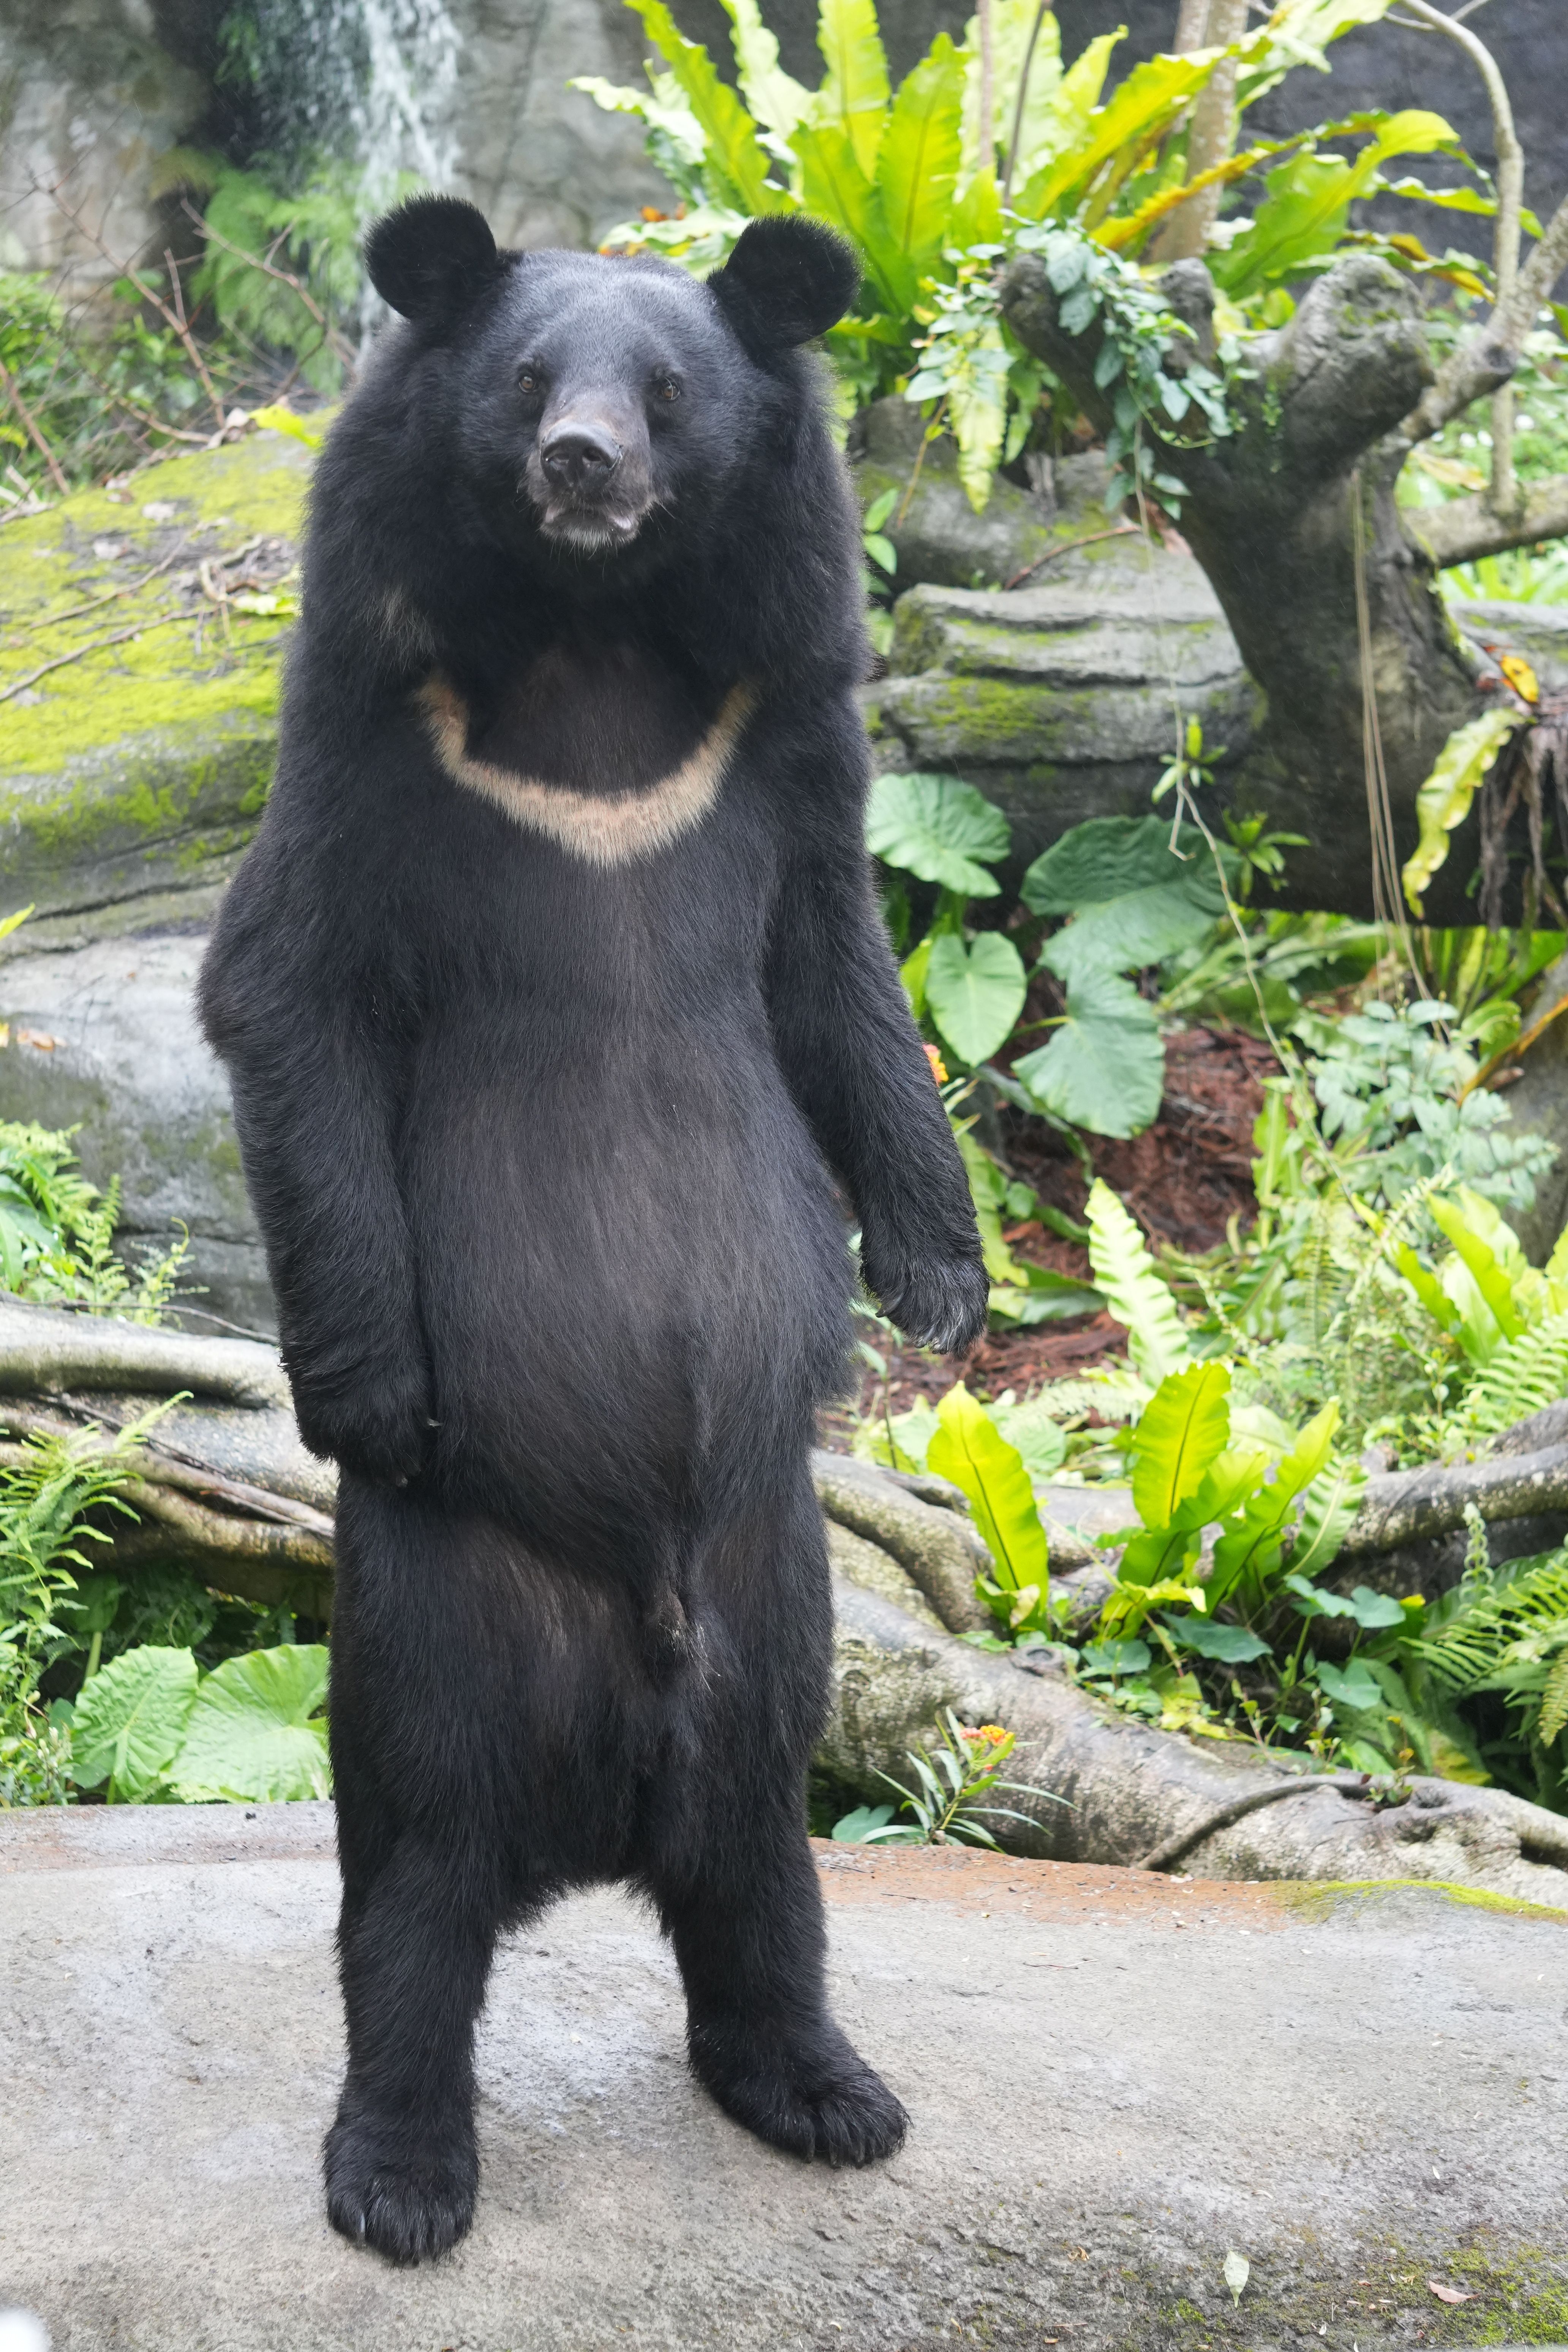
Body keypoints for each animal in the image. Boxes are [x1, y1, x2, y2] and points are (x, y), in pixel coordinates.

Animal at [200, 194, 988, 2265]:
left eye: (671, 391)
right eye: (528, 377)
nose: (579, 465)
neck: (591, 629)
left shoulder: (780, 725)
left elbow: (840, 970)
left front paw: (943, 1288)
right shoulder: (369, 724)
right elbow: (284, 987)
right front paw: (368, 1390)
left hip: (778, 1603)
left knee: (767, 1877)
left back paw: (827, 2090)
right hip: (440, 1617)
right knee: (409, 1891)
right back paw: (401, 2177)